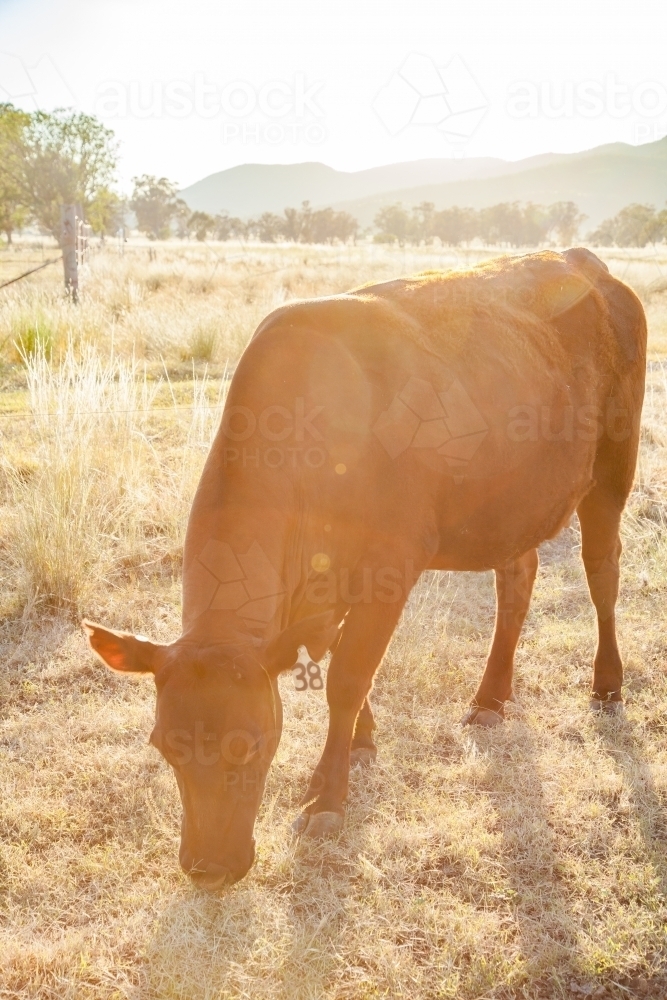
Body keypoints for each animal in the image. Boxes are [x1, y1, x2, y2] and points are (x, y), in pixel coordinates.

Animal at [84, 248, 646, 889]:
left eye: (249, 745)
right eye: (163, 747)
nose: (207, 869)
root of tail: (584, 262)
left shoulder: (390, 568)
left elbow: (348, 677)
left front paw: (327, 796)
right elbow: (336, 659)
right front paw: (361, 740)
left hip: (611, 475)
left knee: (602, 573)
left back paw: (607, 683)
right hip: (510, 504)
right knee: (517, 582)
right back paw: (490, 697)